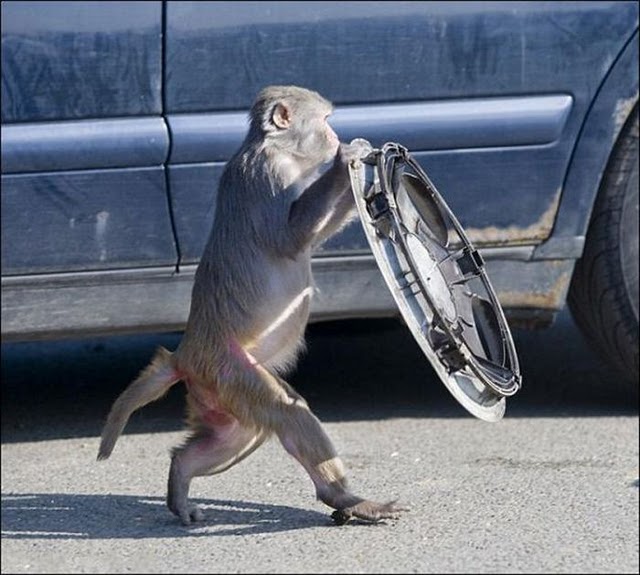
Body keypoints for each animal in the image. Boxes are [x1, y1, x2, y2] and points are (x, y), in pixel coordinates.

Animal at [98, 85, 405, 526]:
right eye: (326, 121)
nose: (335, 136)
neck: (275, 148)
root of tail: (185, 354)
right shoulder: (268, 175)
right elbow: (291, 238)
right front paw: (346, 160)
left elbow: (308, 240)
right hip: (228, 369)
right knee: (287, 413)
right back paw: (345, 498)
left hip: (219, 386)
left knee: (239, 432)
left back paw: (181, 474)